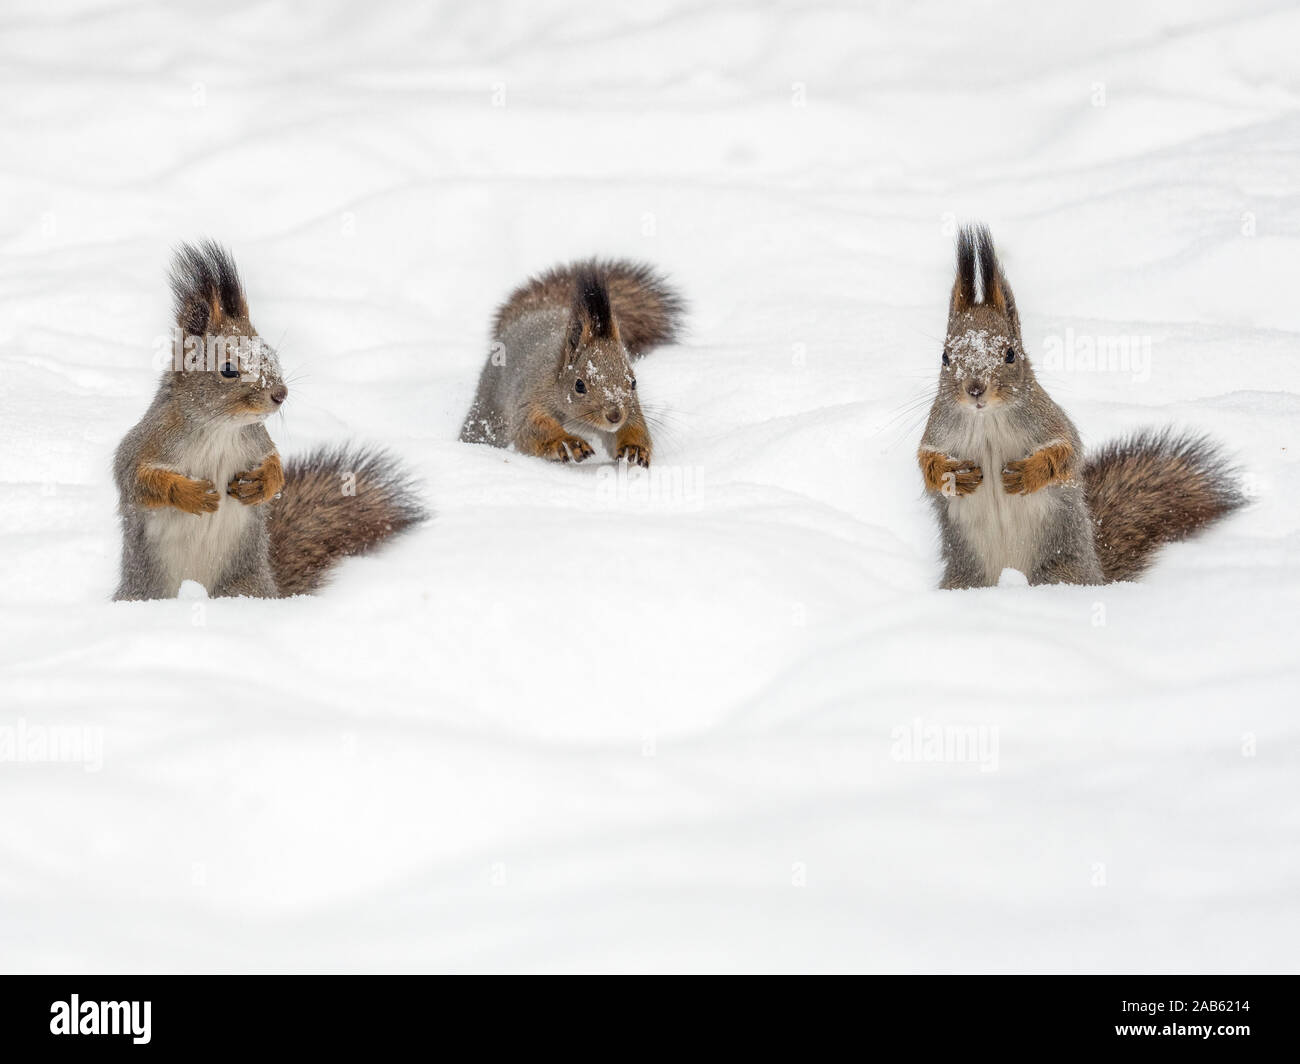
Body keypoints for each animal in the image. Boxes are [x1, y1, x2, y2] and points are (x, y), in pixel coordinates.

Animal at [113, 241, 425, 601]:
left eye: (272, 355)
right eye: (229, 369)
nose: (280, 393)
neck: (220, 429)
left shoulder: (257, 441)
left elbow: (276, 466)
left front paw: (263, 483)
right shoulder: (148, 442)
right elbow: (136, 480)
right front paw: (191, 494)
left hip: (245, 586)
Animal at [459, 259, 684, 467]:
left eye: (633, 382)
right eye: (579, 385)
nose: (614, 416)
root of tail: (531, 314)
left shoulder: (631, 409)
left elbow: (633, 426)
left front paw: (634, 447)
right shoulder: (533, 396)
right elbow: (530, 427)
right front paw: (566, 442)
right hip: (488, 408)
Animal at [917, 225, 1243, 589]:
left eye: (1010, 354)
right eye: (945, 357)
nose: (975, 390)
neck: (987, 419)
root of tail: (1096, 572)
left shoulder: (1049, 420)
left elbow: (1066, 453)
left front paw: (1028, 474)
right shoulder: (938, 430)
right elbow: (926, 463)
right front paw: (953, 476)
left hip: (1060, 569)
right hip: (966, 577)